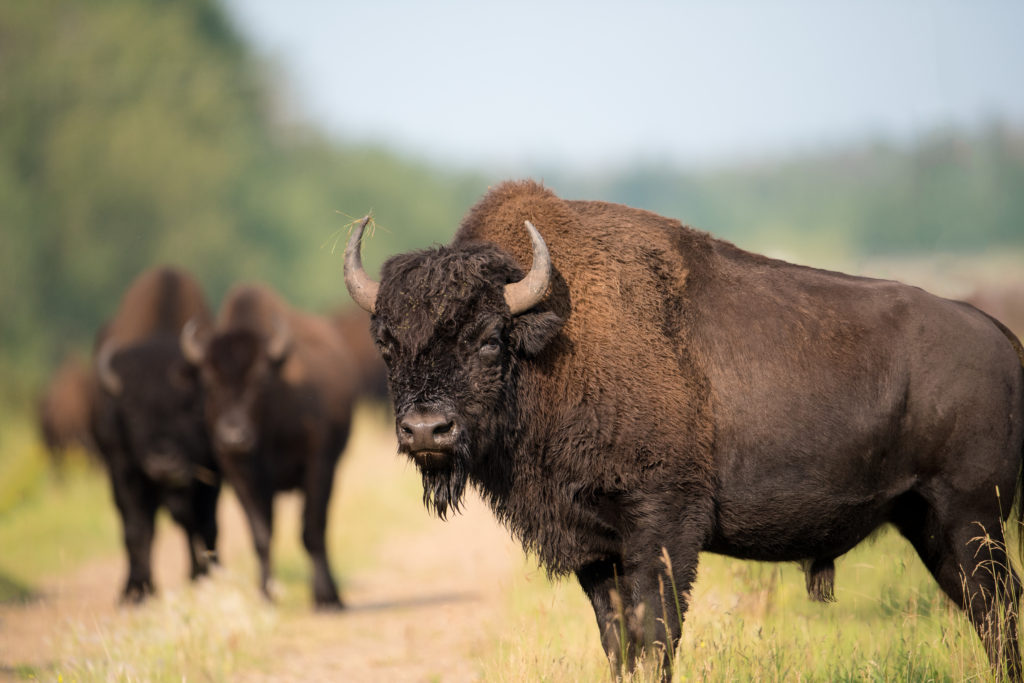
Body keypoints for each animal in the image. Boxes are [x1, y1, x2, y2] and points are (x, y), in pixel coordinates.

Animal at [91, 266, 220, 603]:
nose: (163, 462)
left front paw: (207, 577)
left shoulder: (211, 474)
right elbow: (137, 530)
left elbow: (204, 524)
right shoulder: (123, 472)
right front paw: (135, 591)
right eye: (132, 412)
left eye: (189, 405)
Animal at [181, 283, 357, 608]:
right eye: (209, 383)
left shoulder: (319, 466)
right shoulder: (241, 478)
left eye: (260, 380)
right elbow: (261, 536)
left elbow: (313, 530)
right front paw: (265, 595)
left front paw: (326, 598)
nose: (234, 437)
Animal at [344, 180, 1024, 679]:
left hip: (969, 521)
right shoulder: (598, 551)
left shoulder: (662, 528)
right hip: (930, 525)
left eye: (489, 339)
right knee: (992, 612)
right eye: (387, 342)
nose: (426, 430)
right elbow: (619, 643)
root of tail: (1002, 339)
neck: (550, 344)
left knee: (998, 611)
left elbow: (655, 637)